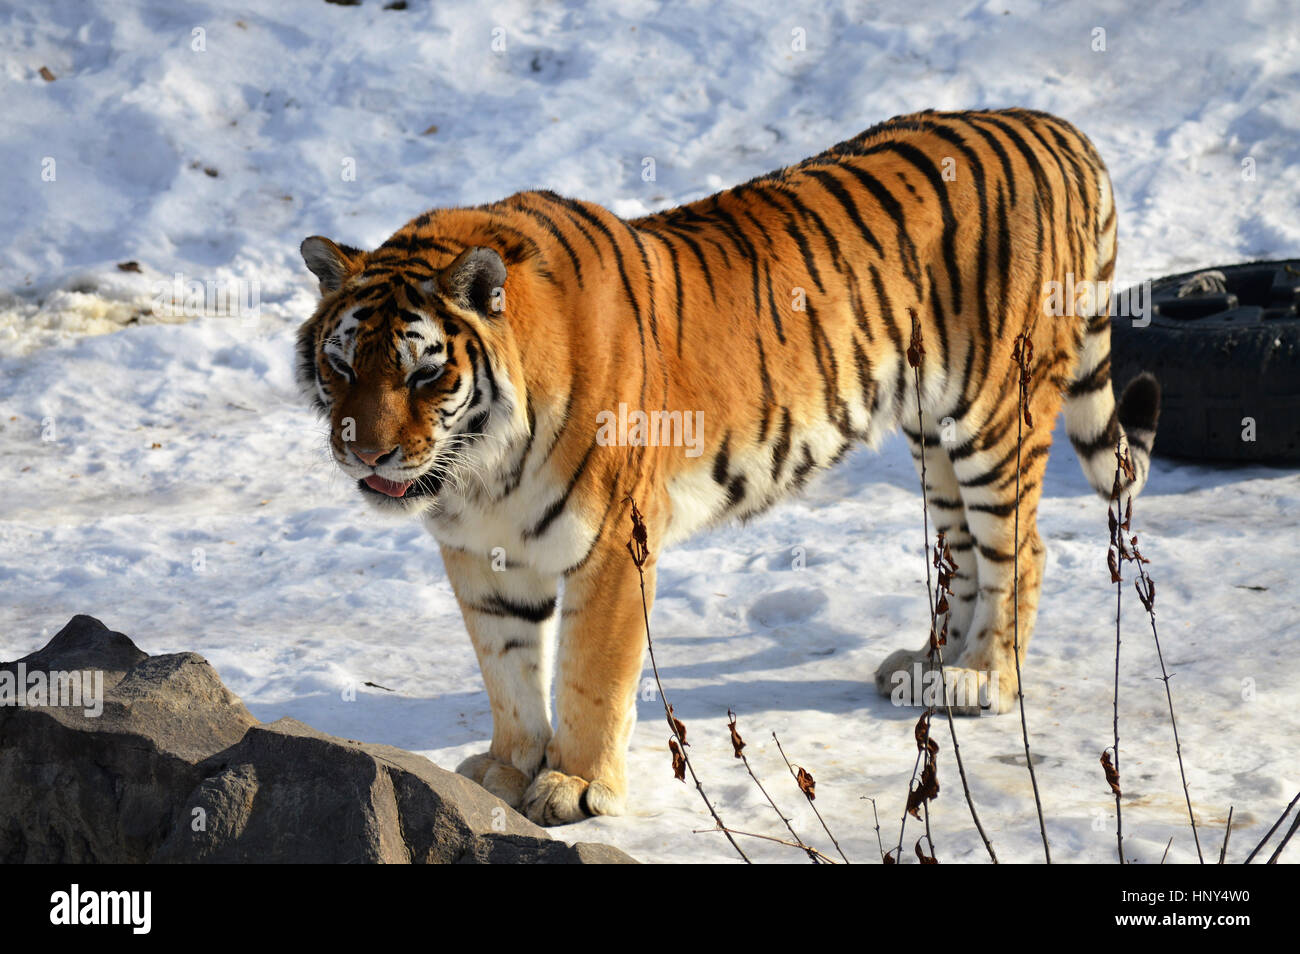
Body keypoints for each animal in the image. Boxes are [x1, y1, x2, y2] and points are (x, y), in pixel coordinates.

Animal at [295, 108, 1160, 826]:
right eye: (341, 365)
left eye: (424, 373)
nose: (363, 450)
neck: (481, 470)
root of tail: (1059, 129)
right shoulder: (482, 555)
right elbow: (507, 673)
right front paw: (510, 770)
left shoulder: (613, 543)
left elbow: (589, 675)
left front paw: (577, 785)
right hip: (933, 433)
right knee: (967, 552)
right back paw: (926, 665)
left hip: (994, 416)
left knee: (1024, 547)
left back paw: (980, 678)